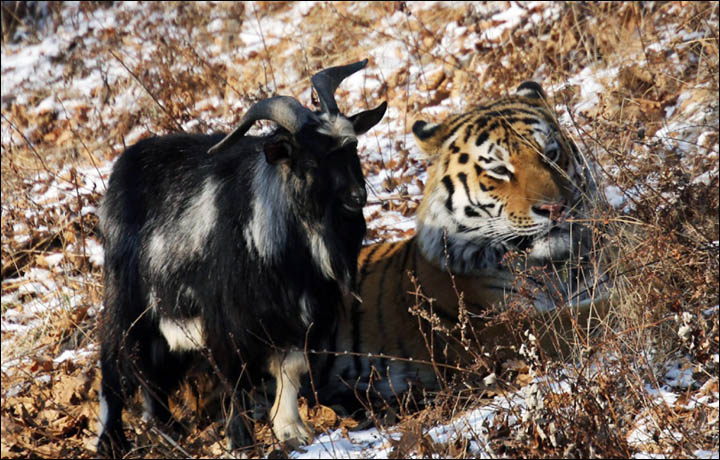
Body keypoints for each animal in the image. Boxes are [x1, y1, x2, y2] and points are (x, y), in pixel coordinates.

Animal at [96, 59, 386, 456]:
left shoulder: (300, 315)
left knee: (150, 371)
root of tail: (122, 167)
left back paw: (169, 429)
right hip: (125, 301)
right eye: (309, 159)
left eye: (351, 145)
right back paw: (112, 440)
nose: (357, 197)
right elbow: (235, 377)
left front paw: (291, 430)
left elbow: (290, 368)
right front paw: (240, 440)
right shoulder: (227, 317)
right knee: (115, 363)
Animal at [310, 81, 607, 409]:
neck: (554, 266)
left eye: (551, 153)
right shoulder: (497, 329)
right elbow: (582, 316)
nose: (555, 209)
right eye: (500, 170)